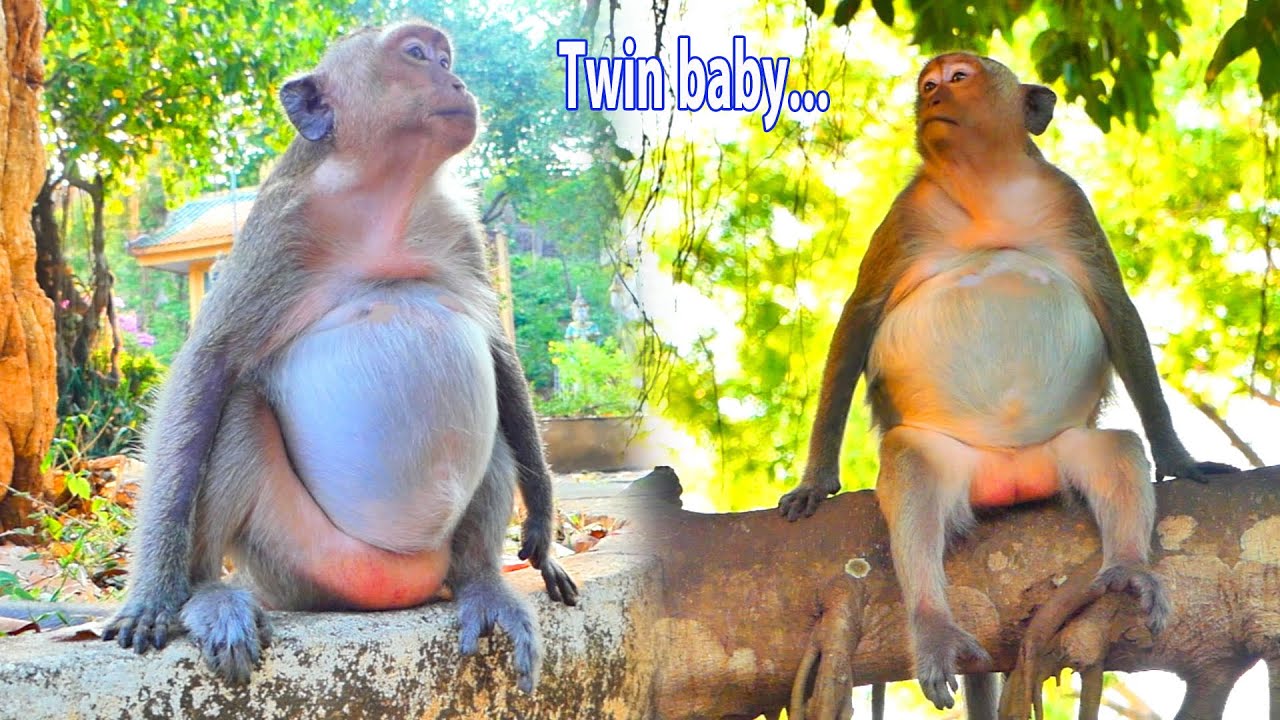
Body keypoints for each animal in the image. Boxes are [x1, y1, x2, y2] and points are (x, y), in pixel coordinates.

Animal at [101, 21, 578, 692]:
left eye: (444, 58)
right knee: (239, 408)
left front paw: (542, 526)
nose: (456, 80)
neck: (385, 195)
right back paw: (208, 593)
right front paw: (154, 595)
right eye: (416, 55)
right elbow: (208, 367)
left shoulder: (458, 228)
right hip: (290, 563)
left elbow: (496, 348)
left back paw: (482, 581)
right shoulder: (277, 229)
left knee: (495, 429)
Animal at [777, 52, 1236, 712]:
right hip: (952, 461)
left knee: (1117, 450)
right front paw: (815, 483)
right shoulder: (907, 213)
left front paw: (1181, 458)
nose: (933, 93)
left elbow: (1116, 310)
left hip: (1060, 453)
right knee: (912, 473)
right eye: (928, 83)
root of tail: (1009, 474)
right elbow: (859, 320)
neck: (983, 183)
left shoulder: (1067, 201)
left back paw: (1127, 568)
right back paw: (932, 625)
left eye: (958, 77)